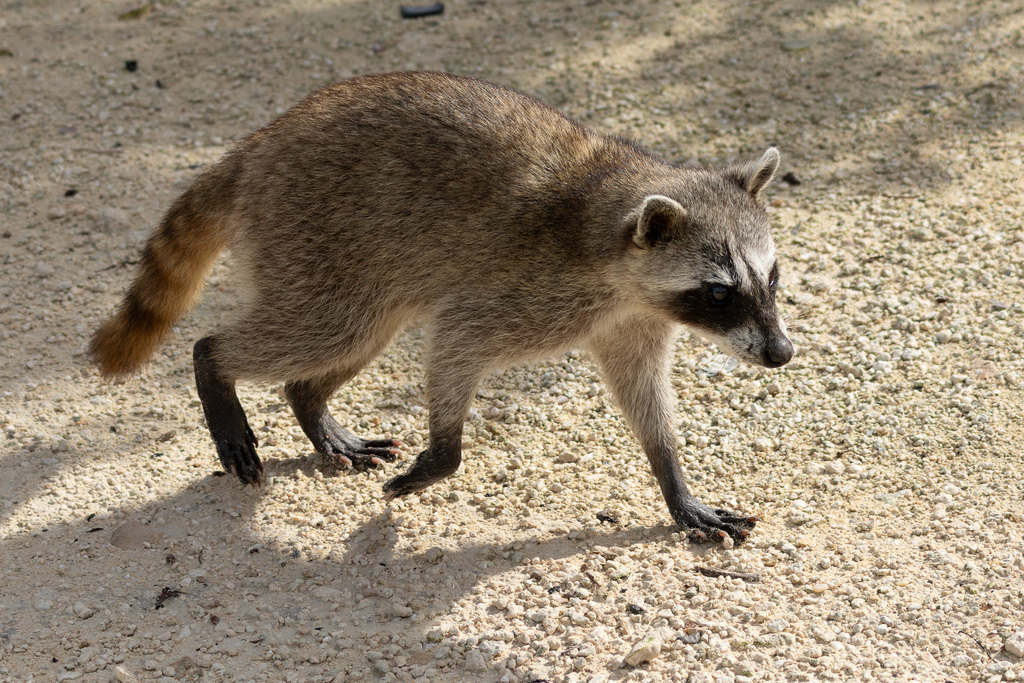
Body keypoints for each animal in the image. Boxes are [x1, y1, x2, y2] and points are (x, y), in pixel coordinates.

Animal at [89, 71, 792, 542]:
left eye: (773, 277)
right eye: (720, 291)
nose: (783, 354)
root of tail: (258, 145)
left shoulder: (633, 320)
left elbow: (645, 397)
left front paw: (674, 479)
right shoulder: (538, 290)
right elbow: (459, 338)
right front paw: (445, 450)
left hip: (348, 263)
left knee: (353, 337)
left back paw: (309, 403)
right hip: (314, 232)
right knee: (322, 330)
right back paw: (215, 366)